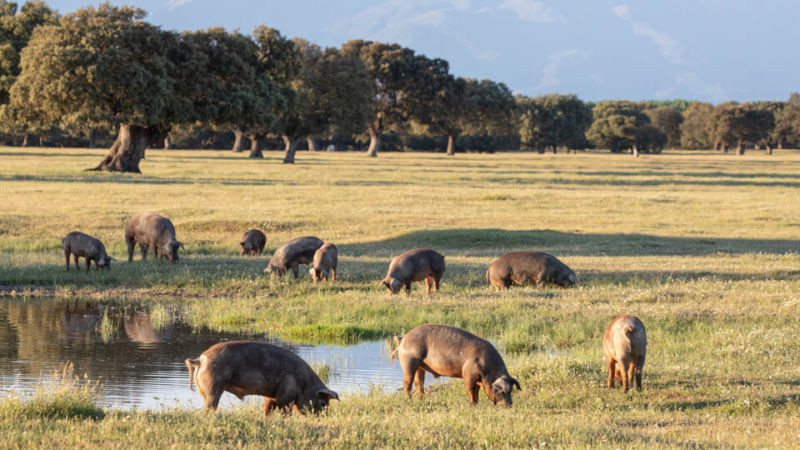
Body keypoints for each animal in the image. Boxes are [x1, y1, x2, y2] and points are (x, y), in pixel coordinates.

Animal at [184, 341, 339, 416]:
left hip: (204, 390)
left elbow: (266, 410)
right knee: (209, 408)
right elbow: (285, 412)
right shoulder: (285, 397)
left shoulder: (271, 396)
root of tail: (200, 359)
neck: (305, 384)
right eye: (323, 403)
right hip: (212, 387)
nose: (324, 418)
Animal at [391, 324, 521, 406]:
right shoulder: (468, 374)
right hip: (409, 362)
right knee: (407, 383)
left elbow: (477, 391)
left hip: (420, 366)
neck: (488, 372)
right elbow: (470, 390)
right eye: (500, 391)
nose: (509, 405)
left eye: (511, 390)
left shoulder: (478, 379)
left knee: (419, 383)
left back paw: (421, 400)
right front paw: (472, 404)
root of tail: (403, 339)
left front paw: (476, 403)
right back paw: (409, 400)